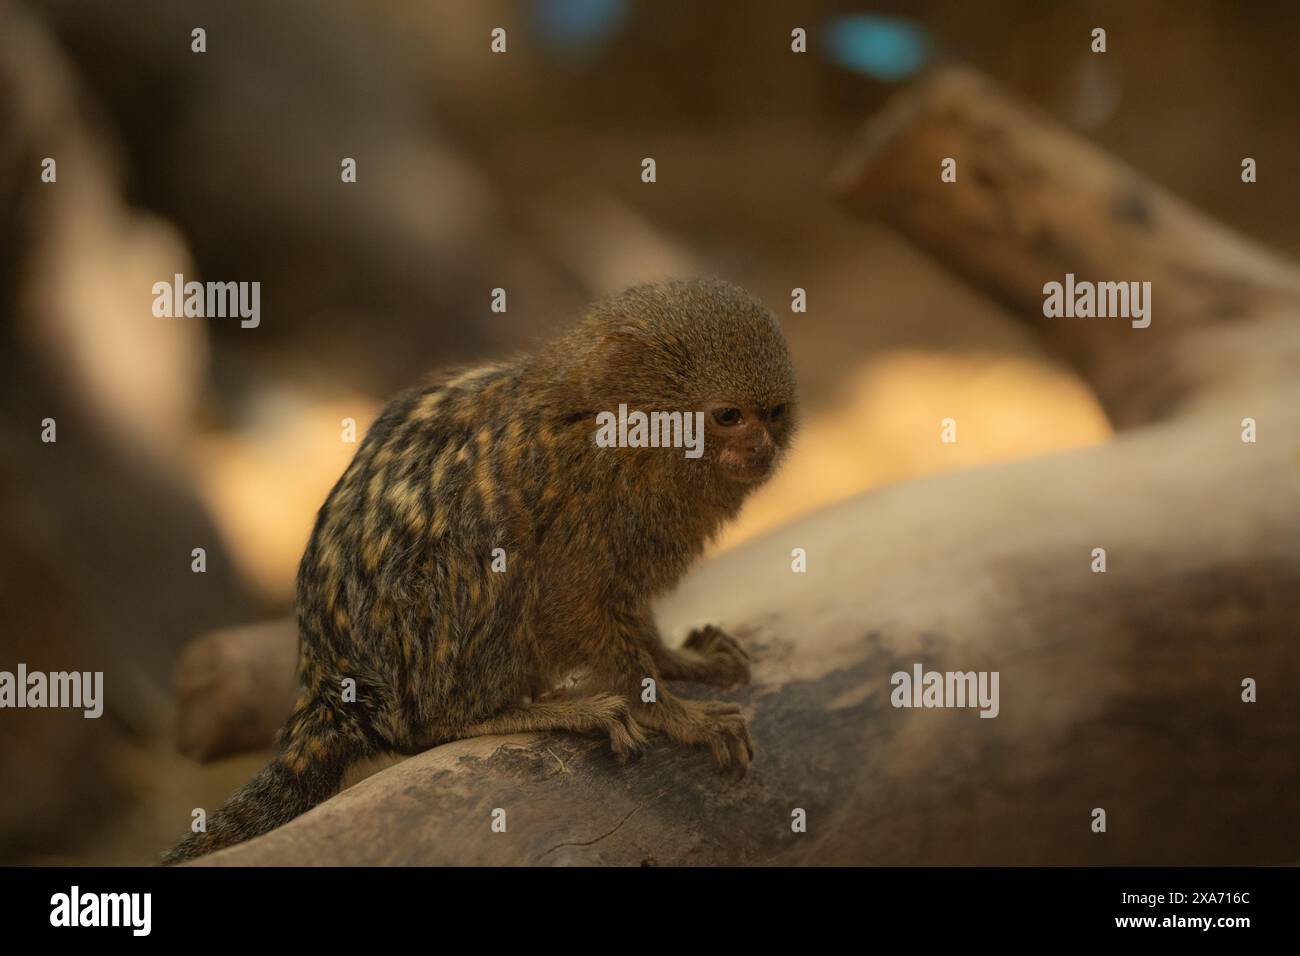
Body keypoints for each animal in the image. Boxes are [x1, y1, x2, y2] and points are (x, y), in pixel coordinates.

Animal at [162, 278, 797, 864]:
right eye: (728, 416)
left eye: (773, 414)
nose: (762, 448)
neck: (616, 434)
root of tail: (328, 676)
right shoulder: (574, 502)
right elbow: (576, 601)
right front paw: (673, 713)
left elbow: (629, 610)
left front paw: (679, 661)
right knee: (433, 703)